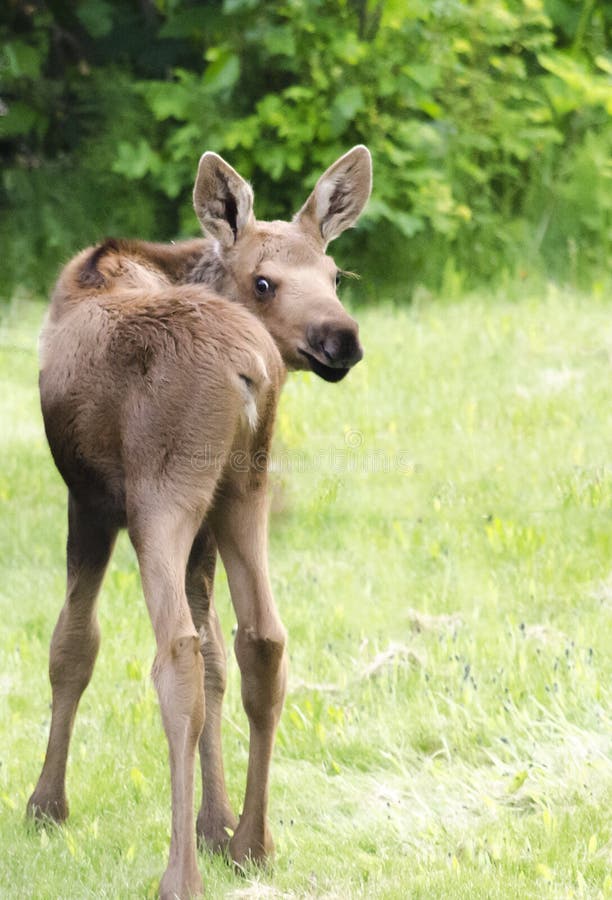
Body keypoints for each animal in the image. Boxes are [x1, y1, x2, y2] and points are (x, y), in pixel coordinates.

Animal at [27, 145, 372, 898]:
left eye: (335, 275)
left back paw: (179, 871)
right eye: (265, 280)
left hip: (162, 493)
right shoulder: (210, 521)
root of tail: (248, 368)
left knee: (174, 655)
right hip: (247, 485)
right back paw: (253, 842)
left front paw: (45, 806)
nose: (341, 337)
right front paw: (217, 824)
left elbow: (74, 645)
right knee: (263, 639)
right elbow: (219, 656)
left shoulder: (89, 498)